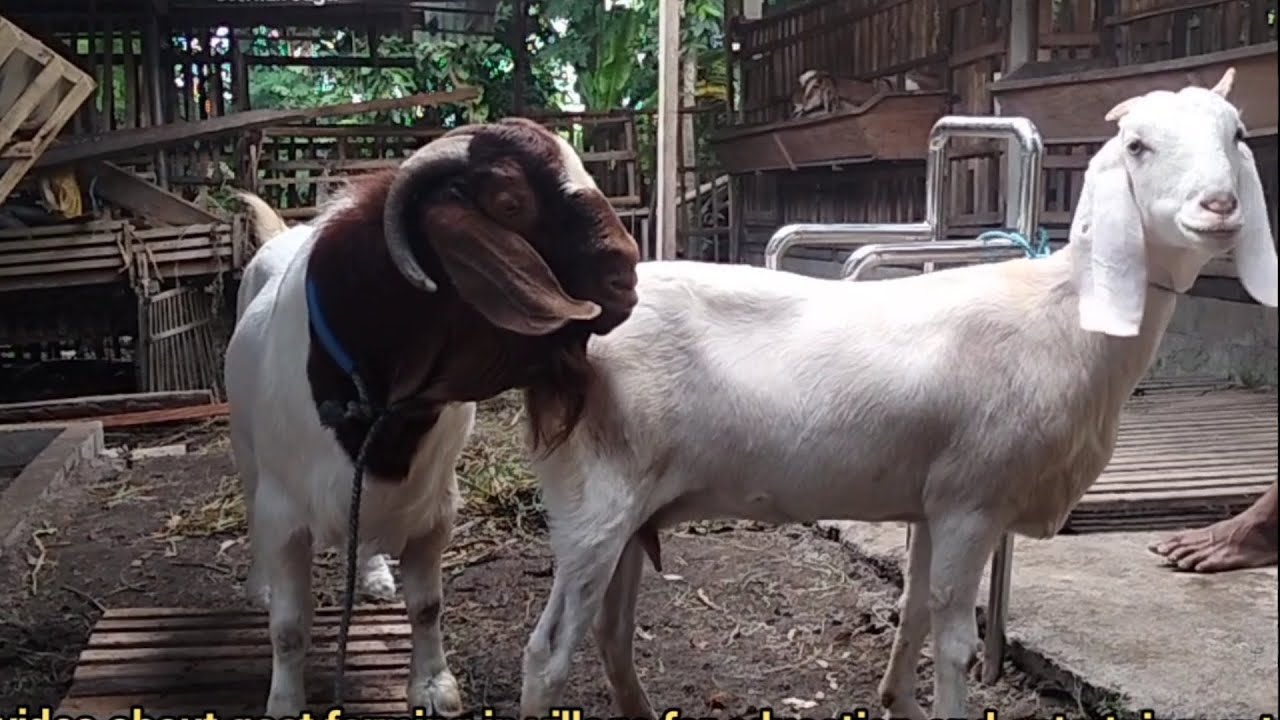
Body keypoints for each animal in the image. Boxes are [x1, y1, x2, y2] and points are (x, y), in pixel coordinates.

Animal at [223, 117, 642, 715]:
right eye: (510, 203)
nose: (626, 279)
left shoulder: (434, 509)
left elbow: (427, 606)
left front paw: (433, 686)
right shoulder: (285, 515)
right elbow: (288, 628)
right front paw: (284, 703)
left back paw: (374, 575)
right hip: (247, 452)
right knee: (251, 504)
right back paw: (259, 585)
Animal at [517, 69, 1277, 720]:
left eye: (1237, 134)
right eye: (1138, 145)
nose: (1219, 207)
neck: (1067, 315)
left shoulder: (931, 501)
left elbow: (912, 605)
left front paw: (899, 700)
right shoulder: (973, 501)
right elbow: (955, 639)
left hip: (634, 509)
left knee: (612, 632)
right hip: (595, 499)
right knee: (548, 650)